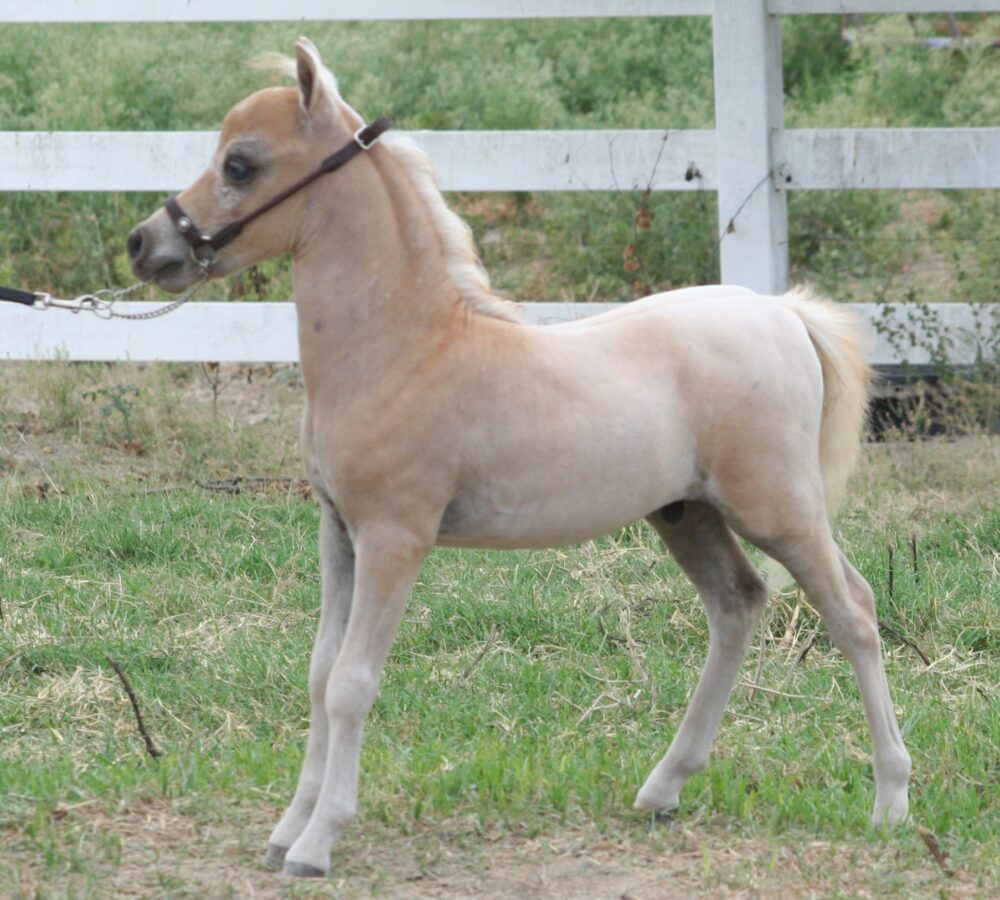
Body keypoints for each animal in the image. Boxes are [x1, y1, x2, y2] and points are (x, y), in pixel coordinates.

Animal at [126, 38, 911, 878]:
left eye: (241, 164)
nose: (145, 244)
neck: (407, 350)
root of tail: (781, 313)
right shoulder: (339, 534)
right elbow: (318, 673)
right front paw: (286, 831)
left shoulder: (395, 539)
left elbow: (351, 683)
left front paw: (318, 841)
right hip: (686, 513)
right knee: (739, 604)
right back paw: (663, 788)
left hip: (780, 509)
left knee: (854, 612)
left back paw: (891, 801)